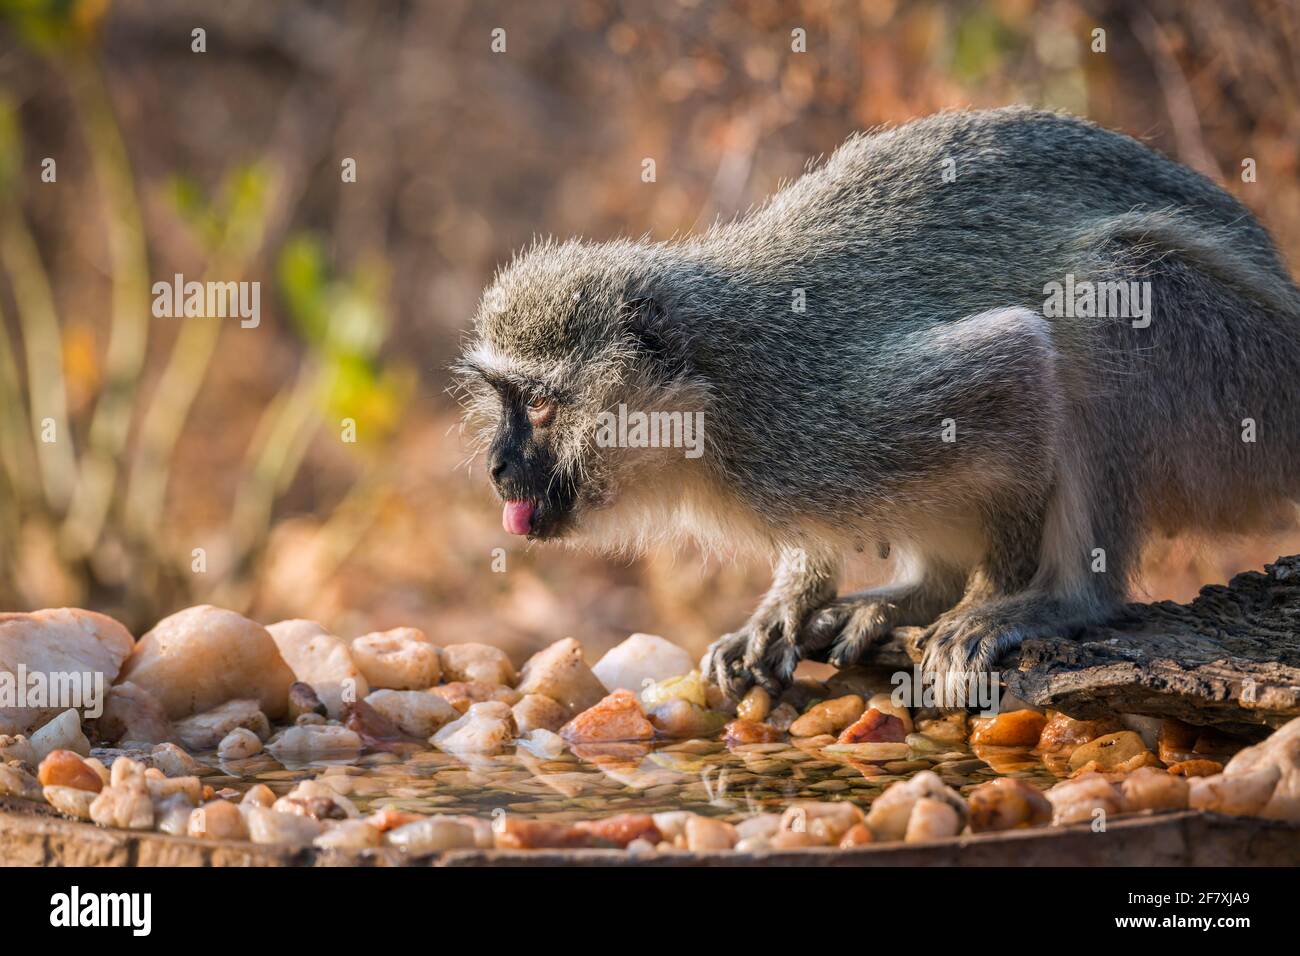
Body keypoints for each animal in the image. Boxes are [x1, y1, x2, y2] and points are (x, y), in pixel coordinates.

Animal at [454, 107, 1300, 706]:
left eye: (541, 406)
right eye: (506, 401)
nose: (497, 467)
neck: (718, 398)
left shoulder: (820, 416)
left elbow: (1021, 360)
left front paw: (996, 598)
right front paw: (792, 599)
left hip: (1251, 383)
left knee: (1106, 287)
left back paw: (1058, 598)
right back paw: (914, 593)